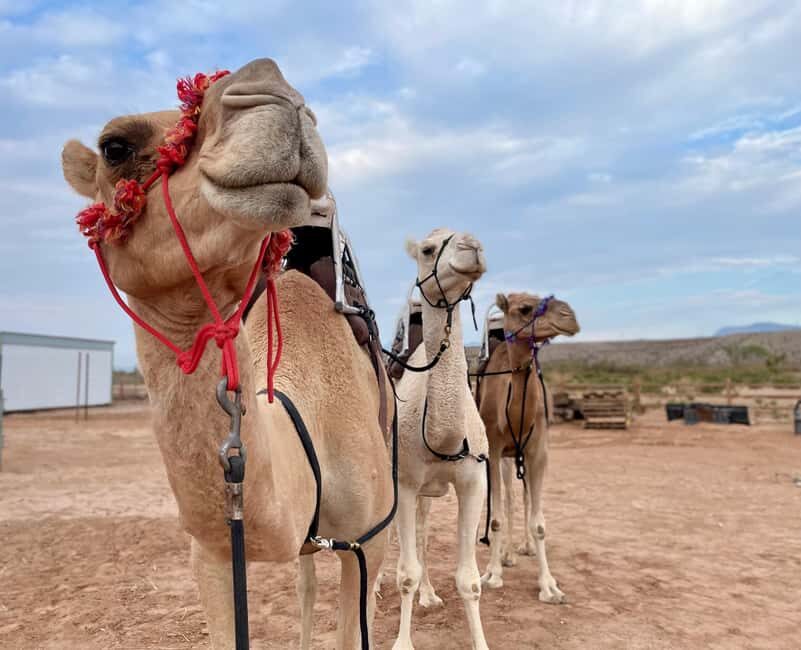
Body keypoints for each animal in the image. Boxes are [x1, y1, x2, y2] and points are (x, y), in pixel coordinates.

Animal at [476, 292, 579, 603]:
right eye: (524, 308)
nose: (570, 316)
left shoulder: (538, 452)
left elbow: (539, 522)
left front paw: (549, 586)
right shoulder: (494, 449)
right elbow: (496, 517)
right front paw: (493, 574)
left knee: (521, 496)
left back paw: (524, 548)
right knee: (506, 498)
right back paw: (504, 556)